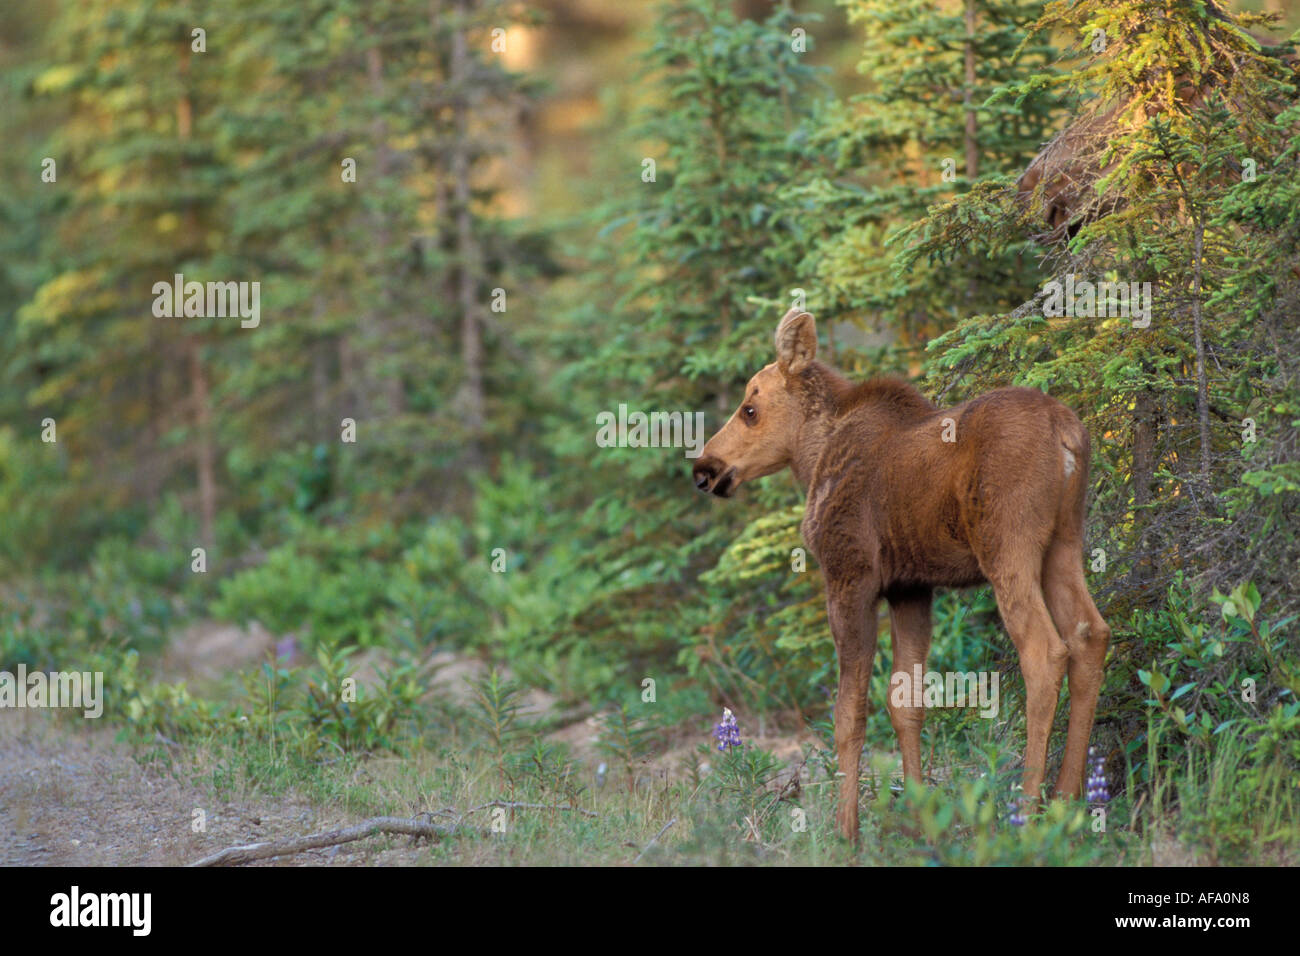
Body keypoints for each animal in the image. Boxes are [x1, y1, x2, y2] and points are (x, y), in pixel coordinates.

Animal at [691, 307, 1110, 842]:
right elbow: (906, 701)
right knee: (1090, 633)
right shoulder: (910, 588)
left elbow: (849, 714)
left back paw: (1028, 810)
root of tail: (1066, 431)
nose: (705, 468)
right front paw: (918, 818)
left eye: (750, 409)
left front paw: (846, 832)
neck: (811, 458)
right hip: (1064, 542)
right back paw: (1068, 801)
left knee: (1045, 651)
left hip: (1008, 545)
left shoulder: (850, 575)